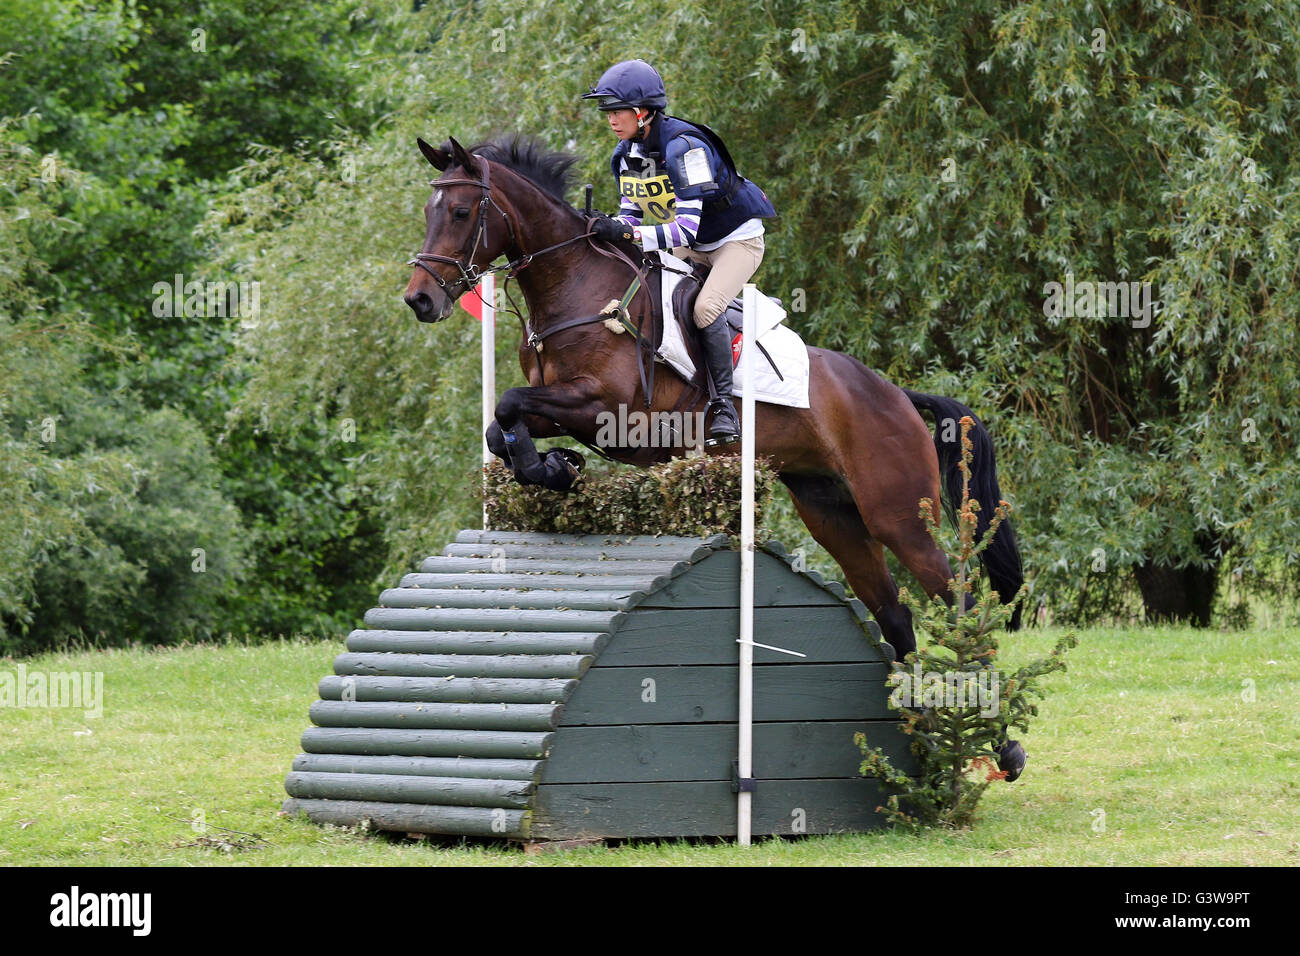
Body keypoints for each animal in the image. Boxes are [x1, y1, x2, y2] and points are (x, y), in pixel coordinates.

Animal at [402, 134, 1026, 665]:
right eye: (430, 213)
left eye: (461, 213)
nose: (419, 300)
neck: (573, 286)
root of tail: (897, 396)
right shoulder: (563, 405)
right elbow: (501, 424)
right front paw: (556, 467)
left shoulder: (609, 410)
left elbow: (508, 403)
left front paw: (549, 467)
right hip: (833, 514)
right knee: (895, 615)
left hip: (899, 517)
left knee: (959, 603)